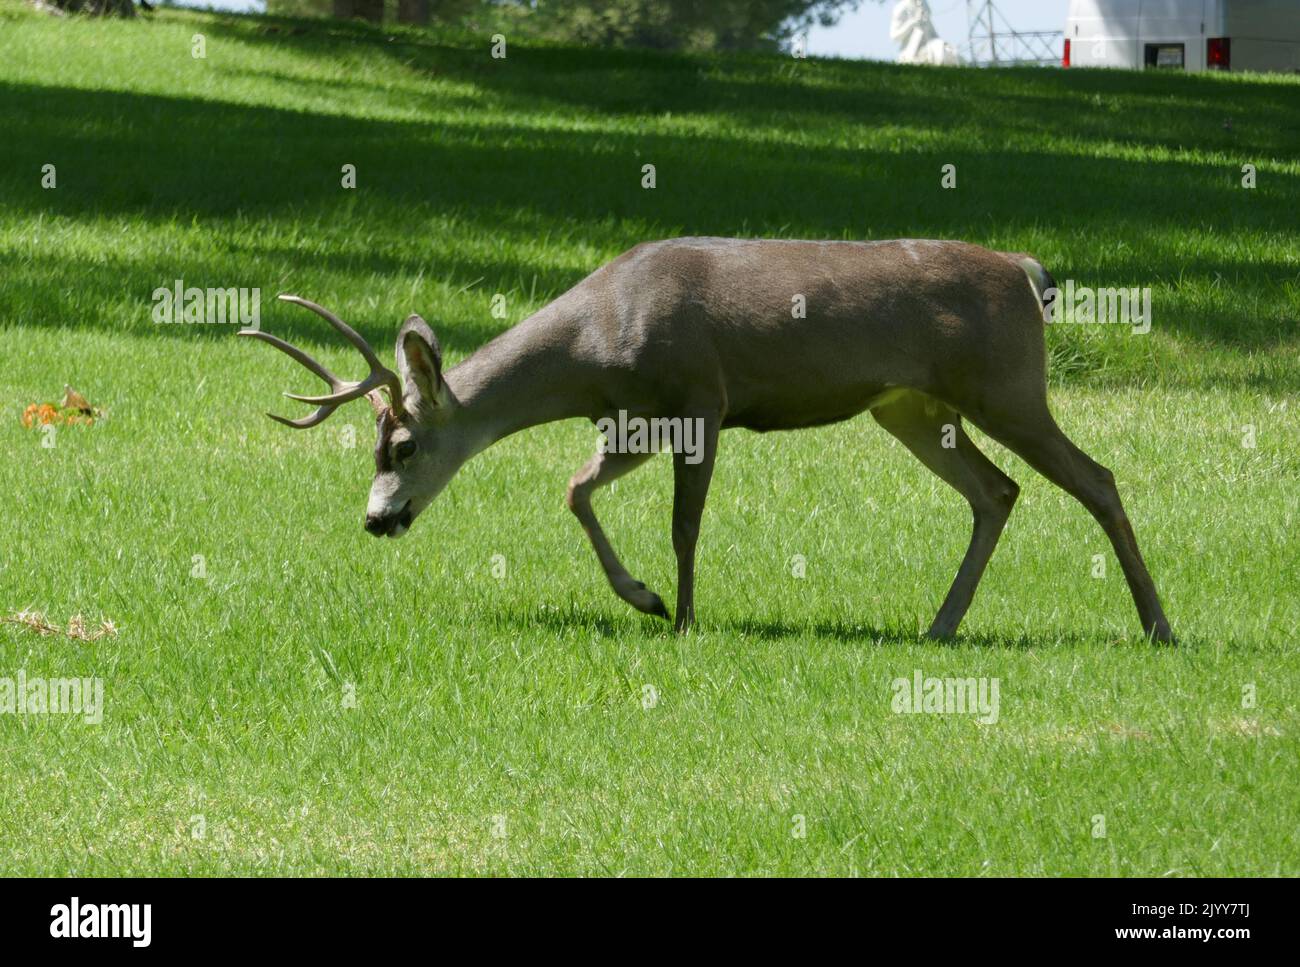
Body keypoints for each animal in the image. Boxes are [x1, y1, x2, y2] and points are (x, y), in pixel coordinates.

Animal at [240, 237, 1173, 643]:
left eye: (401, 449)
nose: (376, 519)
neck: (598, 339)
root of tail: (1026, 270)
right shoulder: (632, 418)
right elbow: (576, 488)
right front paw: (644, 597)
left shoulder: (701, 397)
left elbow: (685, 523)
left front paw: (681, 614)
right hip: (908, 405)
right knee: (998, 490)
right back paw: (939, 625)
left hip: (1006, 383)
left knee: (1096, 476)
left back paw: (1158, 624)